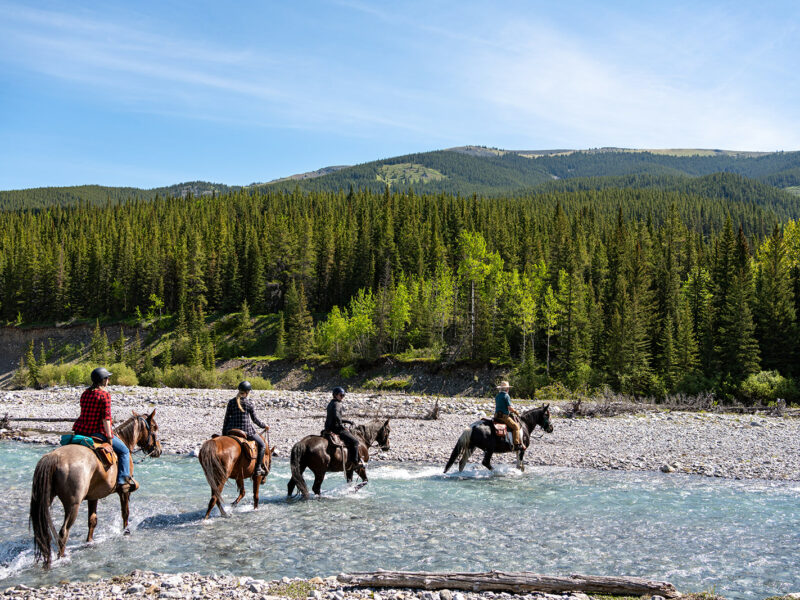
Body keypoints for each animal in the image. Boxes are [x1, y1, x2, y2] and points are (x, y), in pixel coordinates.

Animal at [29, 410, 162, 568]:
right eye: (154, 428)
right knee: (63, 533)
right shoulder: (124, 491)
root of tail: (54, 457)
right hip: (73, 505)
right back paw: (62, 558)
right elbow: (125, 513)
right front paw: (126, 532)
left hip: (46, 500)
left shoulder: (93, 496)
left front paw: (90, 542)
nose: (159, 450)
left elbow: (92, 520)